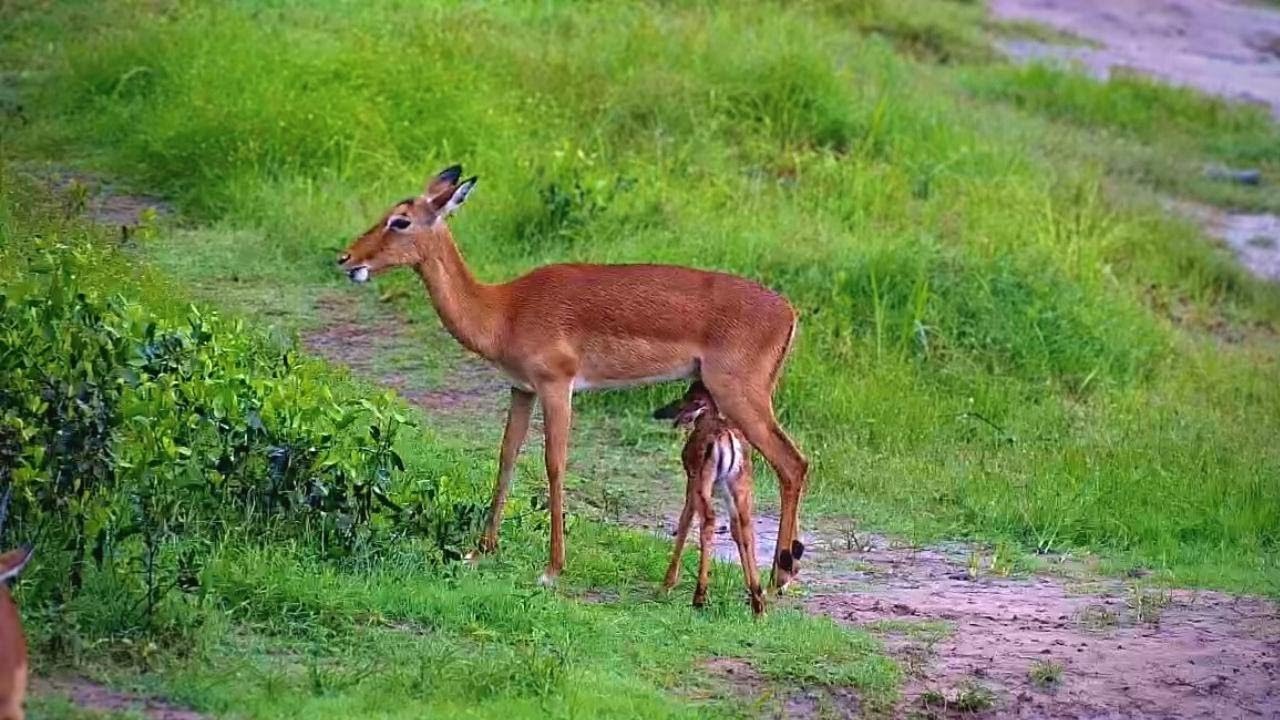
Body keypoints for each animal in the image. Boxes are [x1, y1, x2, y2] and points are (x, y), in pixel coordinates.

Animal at [338, 164, 808, 588]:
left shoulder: (557, 386)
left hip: (740, 396)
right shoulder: (521, 388)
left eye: (400, 220)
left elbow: (554, 463)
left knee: (793, 463)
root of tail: (789, 312)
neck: (504, 310)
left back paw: (778, 579)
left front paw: (552, 568)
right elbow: (507, 456)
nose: (346, 259)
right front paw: (480, 550)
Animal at [654, 382, 769, 615]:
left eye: (687, 397)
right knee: (746, 526)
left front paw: (665, 587)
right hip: (742, 484)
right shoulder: (726, 491)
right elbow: (736, 530)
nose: (660, 412)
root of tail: (727, 438)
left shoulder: (691, 479)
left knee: (708, 520)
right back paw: (757, 602)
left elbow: (684, 522)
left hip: (703, 480)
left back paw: (699, 596)